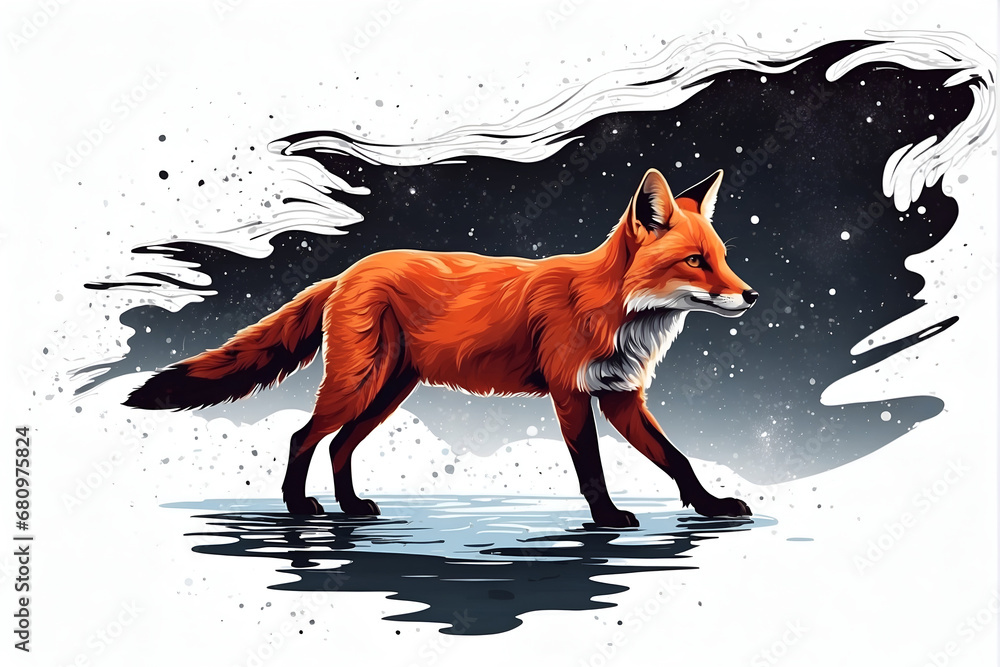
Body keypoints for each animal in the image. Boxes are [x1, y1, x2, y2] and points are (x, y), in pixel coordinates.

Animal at [124, 167, 758, 527]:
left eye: (723, 257)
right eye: (694, 261)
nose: (751, 296)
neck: (610, 308)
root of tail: (350, 269)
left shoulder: (622, 396)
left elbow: (678, 459)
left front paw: (710, 506)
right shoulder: (571, 393)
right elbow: (592, 468)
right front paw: (605, 518)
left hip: (387, 392)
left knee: (339, 446)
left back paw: (351, 508)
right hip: (357, 386)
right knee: (303, 436)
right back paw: (300, 508)